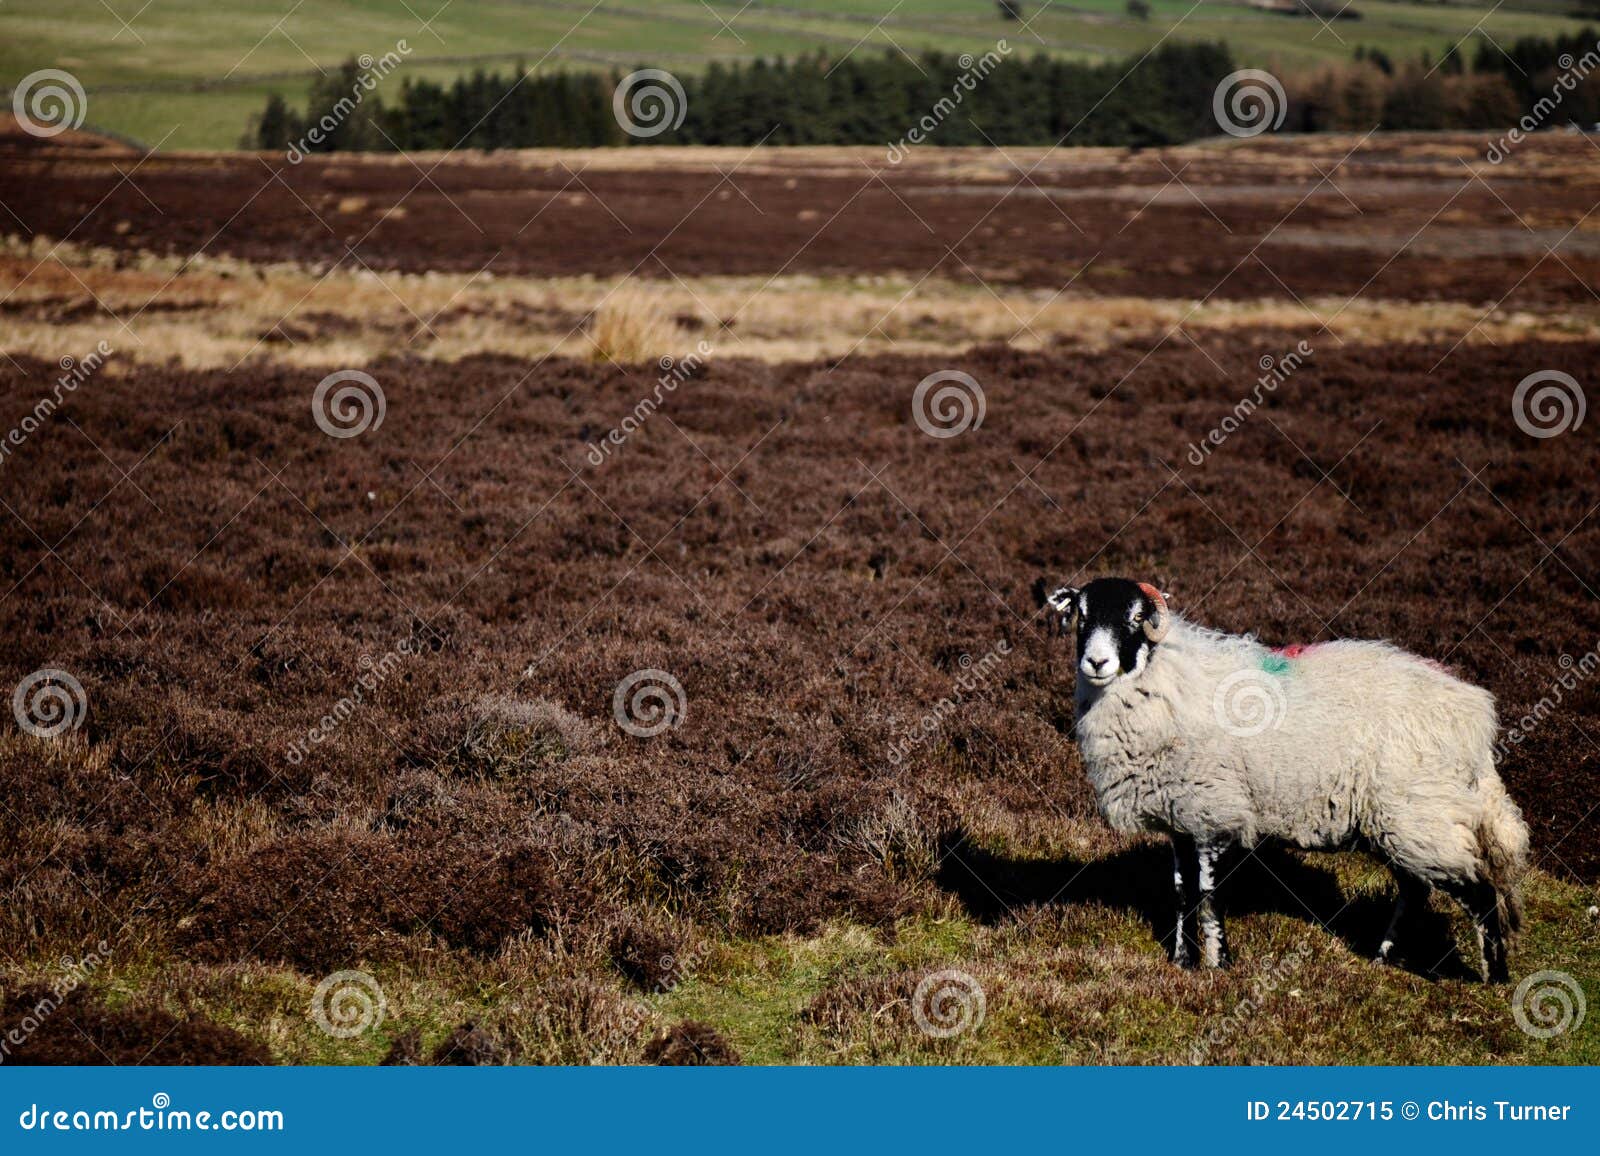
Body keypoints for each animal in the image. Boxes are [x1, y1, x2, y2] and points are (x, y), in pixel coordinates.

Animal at [1044, 576, 1531, 982]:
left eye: (1135, 618)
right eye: (1081, 616)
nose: (1097, 662)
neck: (1168, 682)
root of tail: (1472, 715)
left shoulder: (1214, 810)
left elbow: (1208, 895)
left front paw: (1218, 964)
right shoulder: (1180, 815)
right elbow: (1182, 894)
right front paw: (1183, 962)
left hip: (1419, 811)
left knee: (1479, 890)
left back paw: (1493, 978)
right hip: (1401, 818)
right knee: (1416, 889)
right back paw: (1382, 957)